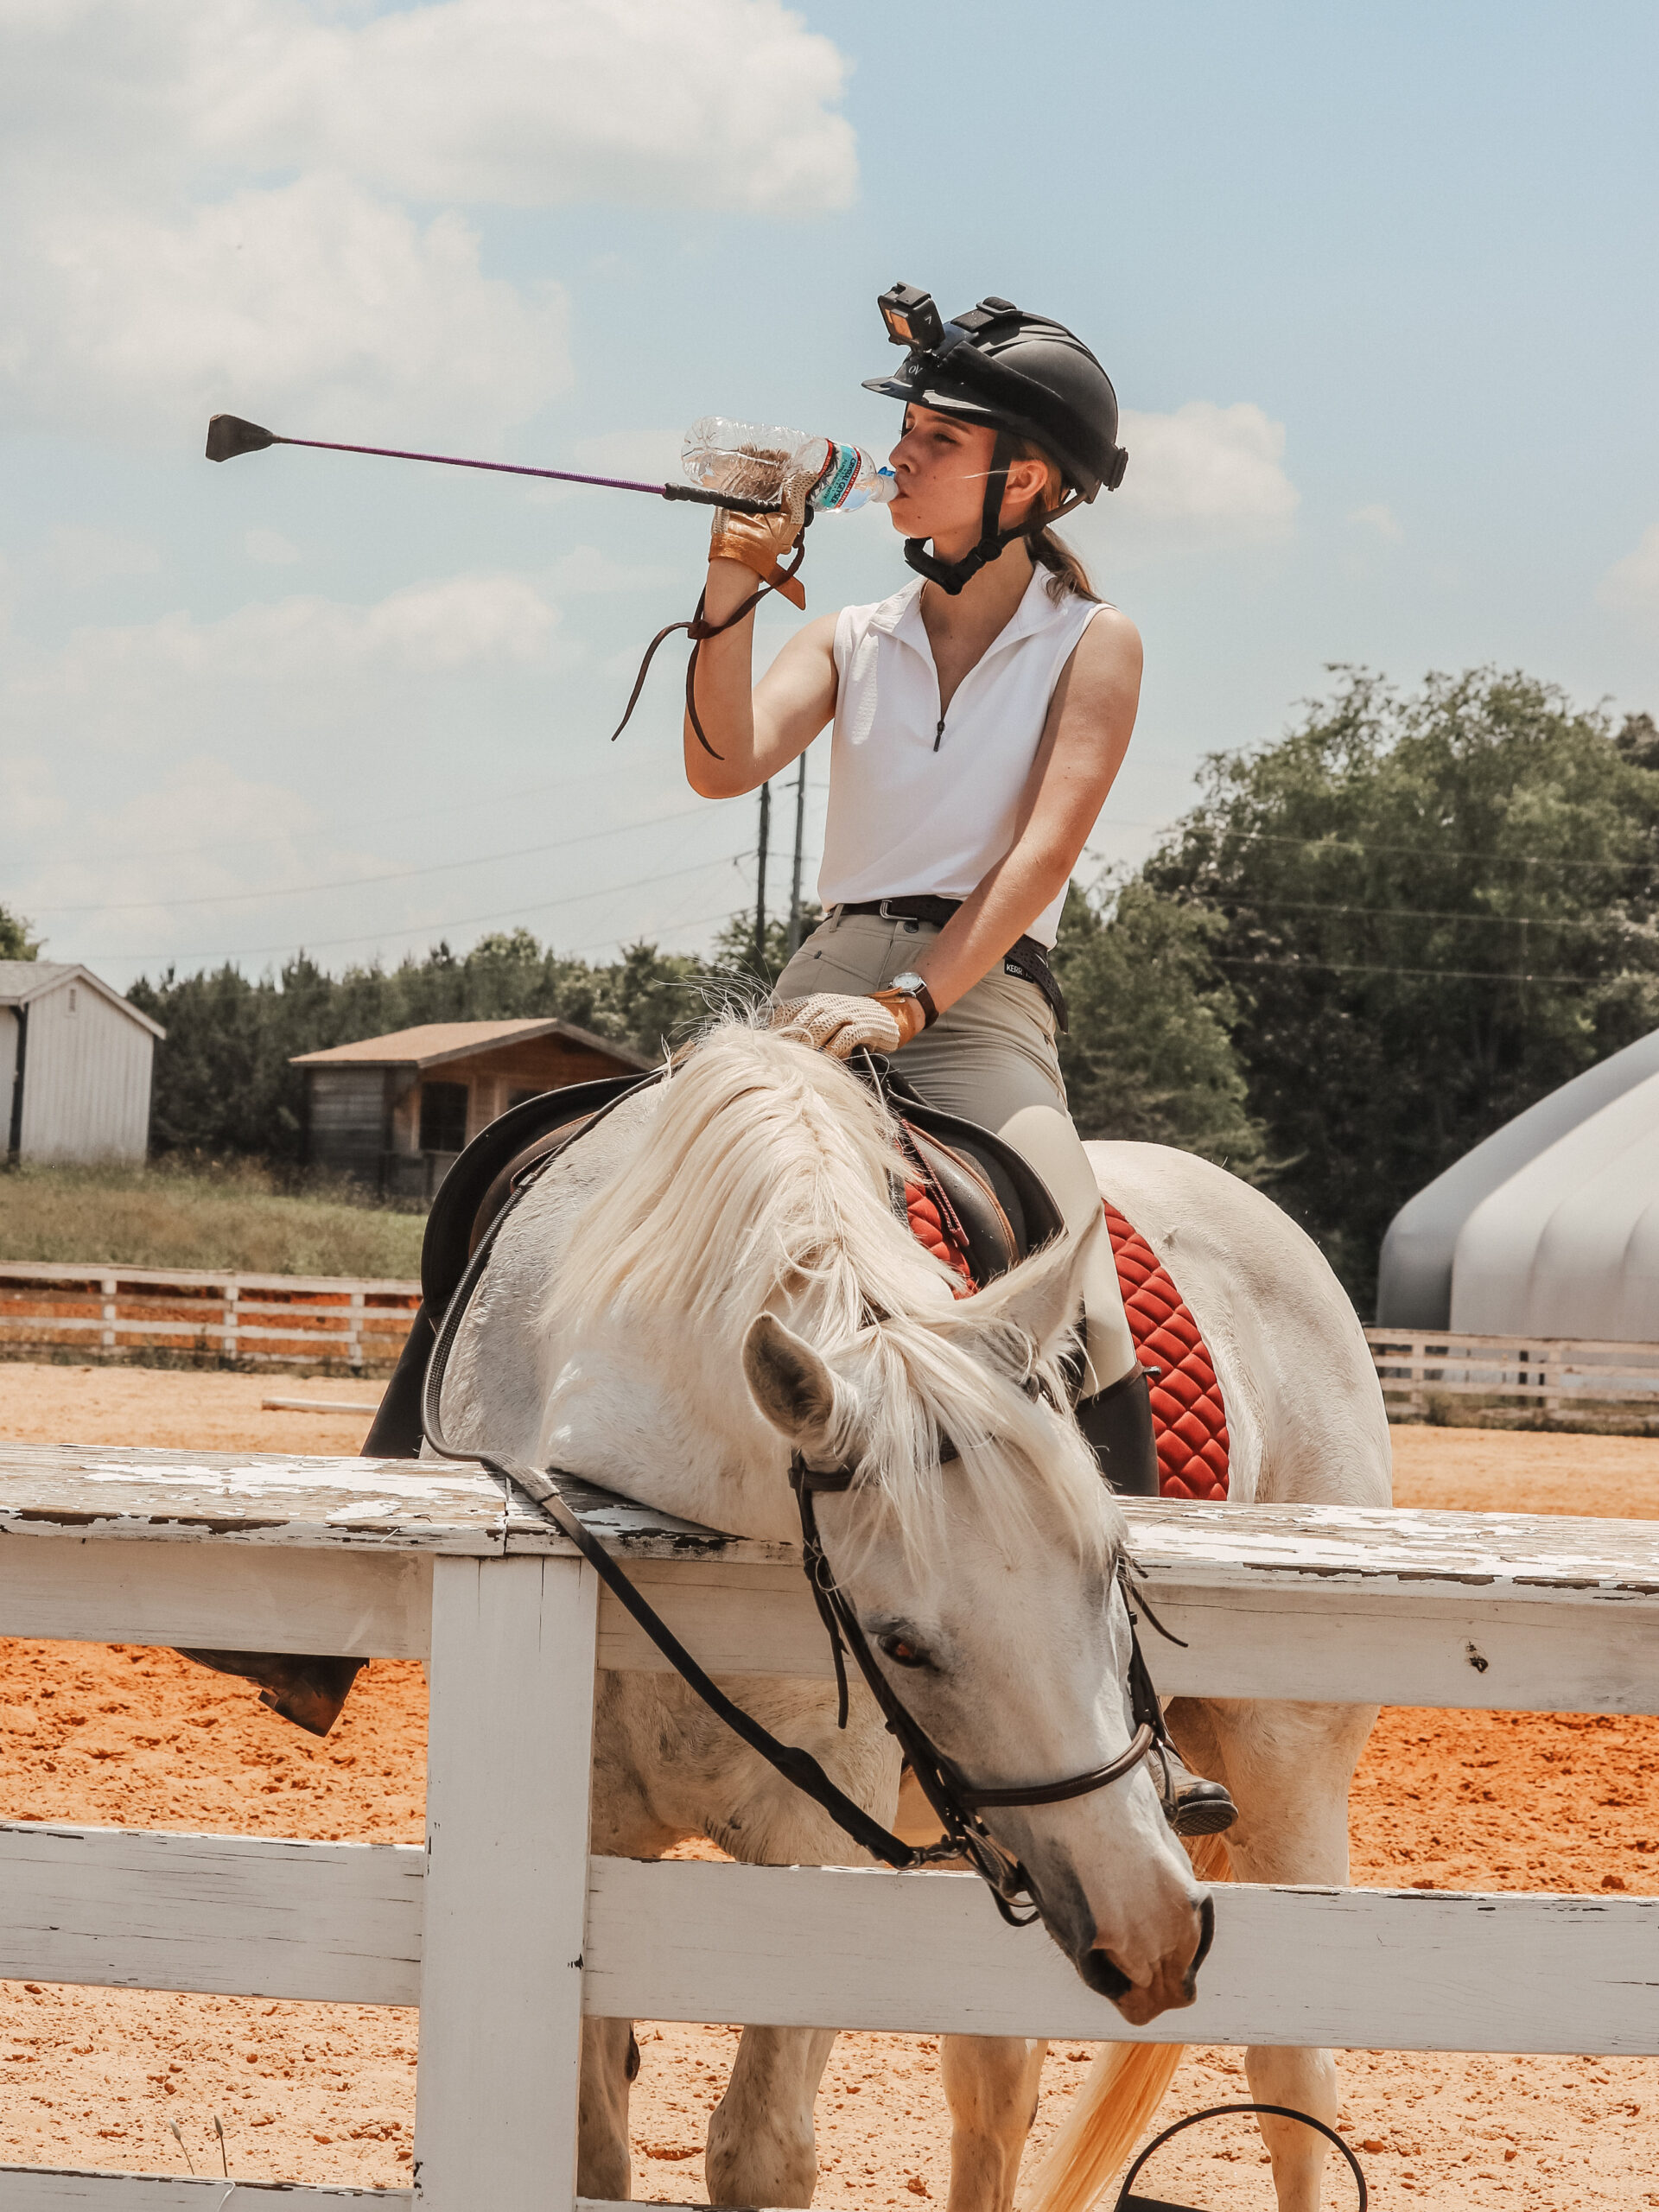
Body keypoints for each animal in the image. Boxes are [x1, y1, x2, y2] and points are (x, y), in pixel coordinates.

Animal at [429, 1018, 1391, 2212]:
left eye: (1112, 1569)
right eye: (898, 1642)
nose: (1155, 1930)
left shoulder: (817, 1843)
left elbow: (760, 2151)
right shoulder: (595, 1848)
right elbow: (594, 2146)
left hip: (1280, 1783)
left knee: (1292, 2080)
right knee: (995, 2088)